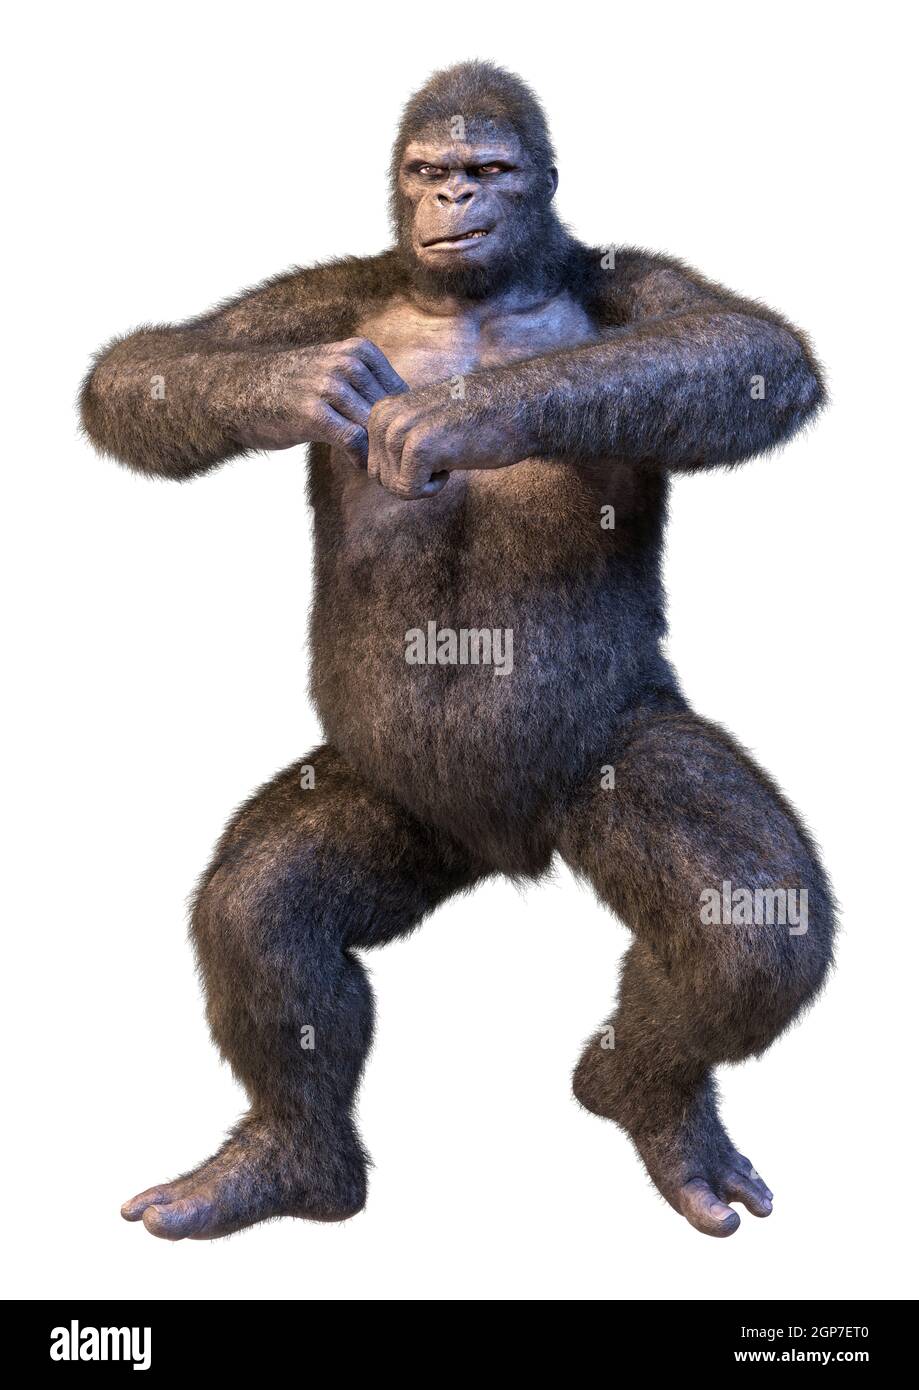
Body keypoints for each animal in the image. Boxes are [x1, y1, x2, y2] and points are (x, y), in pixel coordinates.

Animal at [81, 60, 835, 1241]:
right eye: (427, 169)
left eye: (489, 167)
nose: (452, 199)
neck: (479, 295)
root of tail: (505, 850)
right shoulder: (313, 299)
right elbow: (150, 364)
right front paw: (289, 387)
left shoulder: (639, 284)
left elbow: (746, 348)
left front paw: (468, 408)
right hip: (389, 803)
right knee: (263, 913)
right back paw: (290, 1162)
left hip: (602, 762)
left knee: (747, 928)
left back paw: (644, 1101)